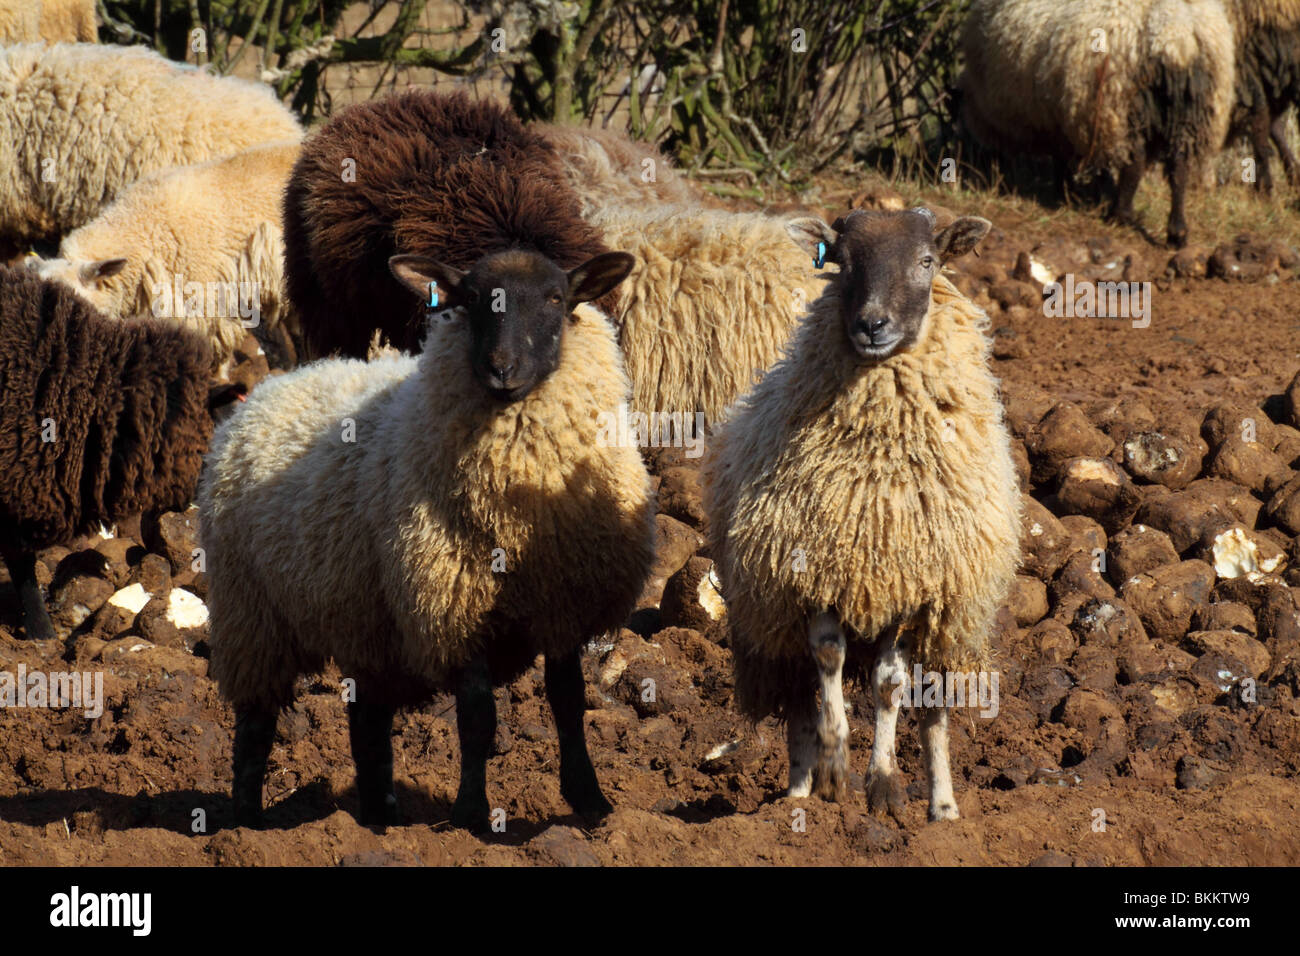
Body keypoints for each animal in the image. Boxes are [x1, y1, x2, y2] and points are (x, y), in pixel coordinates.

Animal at [199, 246, 654, 831]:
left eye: (556, 297)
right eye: (471, 299)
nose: (501, 369)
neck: (517, 517)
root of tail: (267, 391)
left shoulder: (561, 605)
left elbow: (568, 702)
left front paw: (591, 801)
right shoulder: (453, 606)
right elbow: (478, 718)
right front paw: (470, 815)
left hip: (364, 623)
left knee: (367, 725)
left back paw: (376, 819)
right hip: (251, 613)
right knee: (255, 725)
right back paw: (246, 823)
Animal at [703, 208, 1020, 821]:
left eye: (928, 261)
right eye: (843, 261)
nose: (873, 325)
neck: (878, 476)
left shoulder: (905, 585)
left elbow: (889, 685)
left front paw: (884, 785)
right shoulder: (817, 573)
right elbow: (828, 661)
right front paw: (834, 767)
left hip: (943, 628)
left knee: (933, 714)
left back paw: (943, 810)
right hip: (774, 629)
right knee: (801, 700)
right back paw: (798, 794)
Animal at [960, 0, 1236, 247]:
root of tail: (1175, 34)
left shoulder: (1060, 117)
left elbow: (1062, 159)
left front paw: (1065, 192)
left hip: (1120, 103)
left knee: (1134, 163)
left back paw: (1120, 214)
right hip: (1191, 107)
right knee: (1180, 167)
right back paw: (1177, 232)